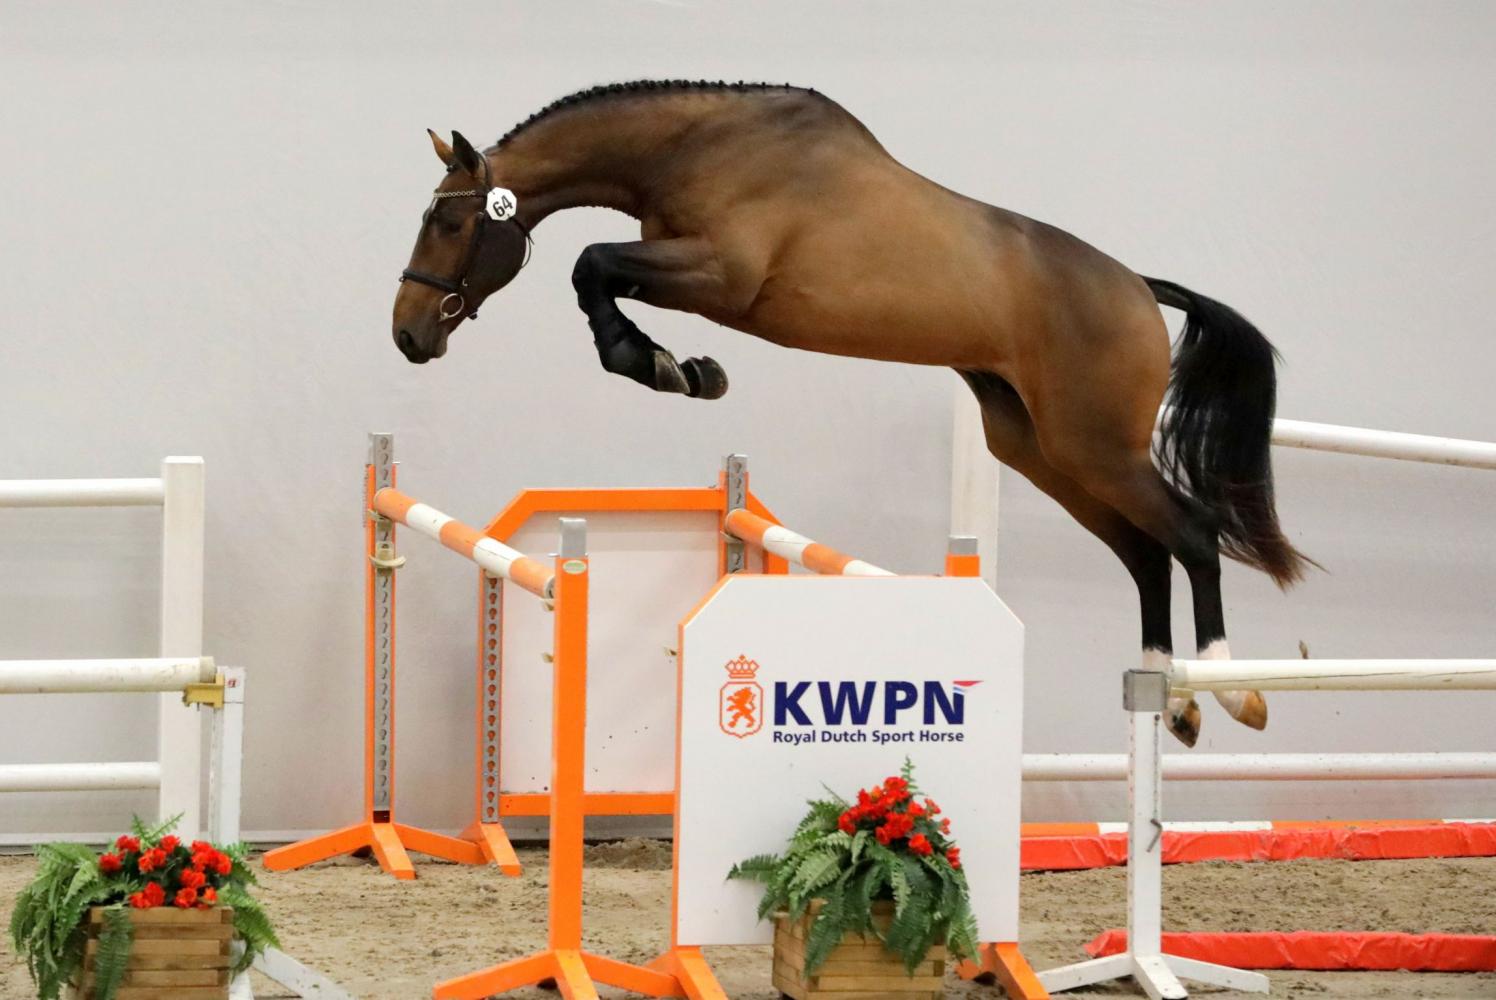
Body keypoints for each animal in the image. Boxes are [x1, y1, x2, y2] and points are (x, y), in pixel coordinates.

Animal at [391, 80, 1314, 746]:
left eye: (448, 222)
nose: (407, 333)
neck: (692, 147)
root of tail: (1137, 287)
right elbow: (596, 273)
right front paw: (680, 367)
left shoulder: (720, 274)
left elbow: (591, 264)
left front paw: (667, 367)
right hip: (1043, 449)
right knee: (1147, 554)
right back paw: (1175, 700)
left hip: (1096, 448)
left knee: (1192, 535)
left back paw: (1236, 694)